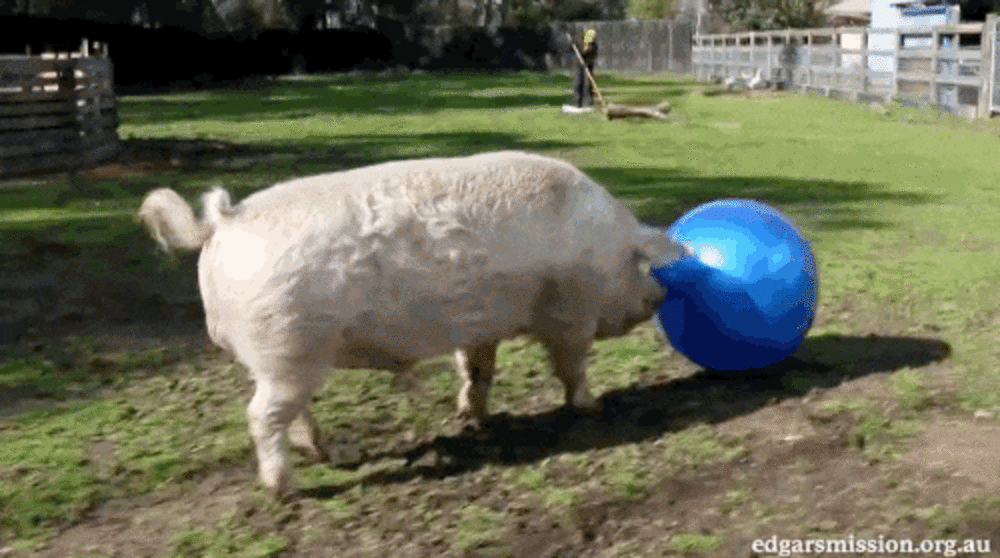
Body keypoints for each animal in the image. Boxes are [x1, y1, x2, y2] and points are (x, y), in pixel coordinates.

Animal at [136, 151, 688, 496]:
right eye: (641, 264)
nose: (659, 298)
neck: (603, 243)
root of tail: (220, 223)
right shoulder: (571, 314)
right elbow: (572, 367)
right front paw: (591, 407)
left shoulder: (479, 326)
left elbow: (477, 369)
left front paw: (474, 418)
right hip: (288, 349)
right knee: (261, 417)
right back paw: (287, 489)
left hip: (279, 358)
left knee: (287, 413)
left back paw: (321, 454)